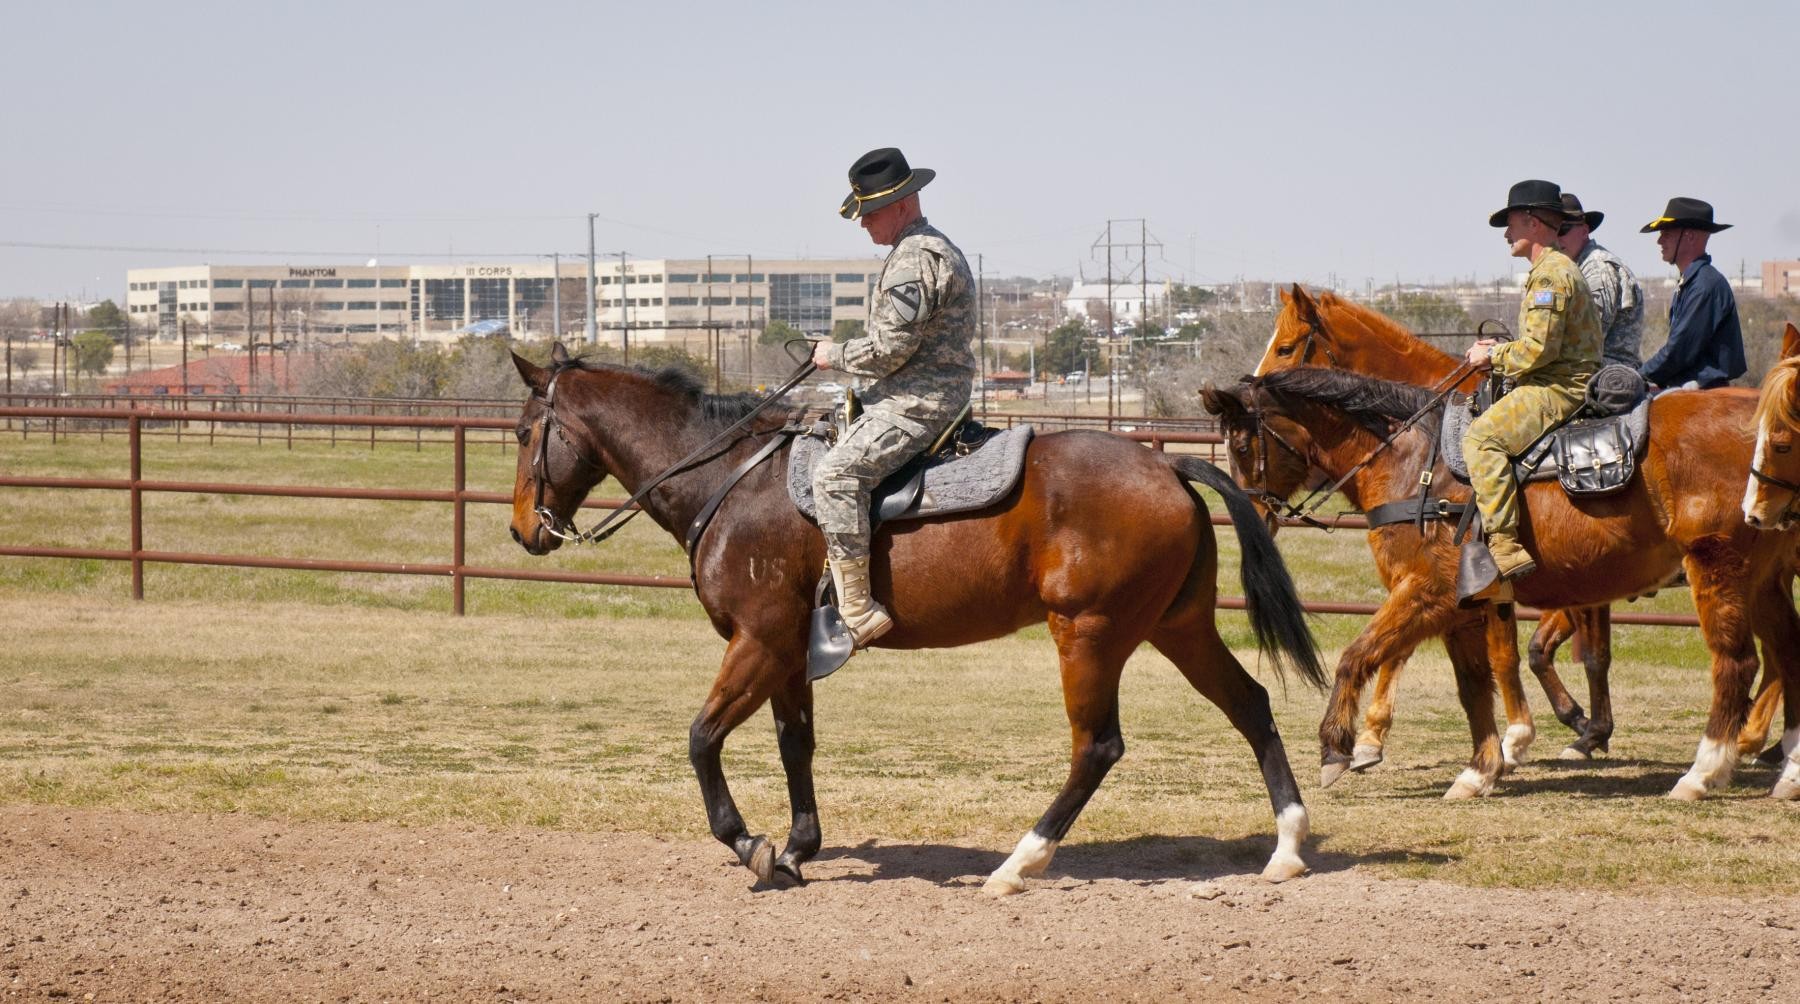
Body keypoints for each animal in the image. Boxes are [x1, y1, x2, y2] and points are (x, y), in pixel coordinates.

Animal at [506, 344, 1325, 893]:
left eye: (521, 433)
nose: (522, 531)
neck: (730, 482)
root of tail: (1167, 464)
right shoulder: (786, 653)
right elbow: (795, 745)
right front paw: (798, 849)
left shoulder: (758, 640)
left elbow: (703, 740)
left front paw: (750, 844)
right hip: (1177, 628)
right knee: (1251, 705)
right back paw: (1286, 848)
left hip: (1089, 634)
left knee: (1098, 747)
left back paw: (1019, 862)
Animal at [1203, 366, 1800, 801]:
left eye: (1240, 444)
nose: (1251, 515)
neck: (1414, 464)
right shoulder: (1463, 607)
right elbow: (1475, 685)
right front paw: (1482, 769)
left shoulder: (1425, 592)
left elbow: (1357, 656)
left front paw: (1336, 749)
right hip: (1765, 579)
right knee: (1786, 656)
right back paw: (1788, 769)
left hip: (1717, 566)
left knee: (1737, 663)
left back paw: (1704, 772)